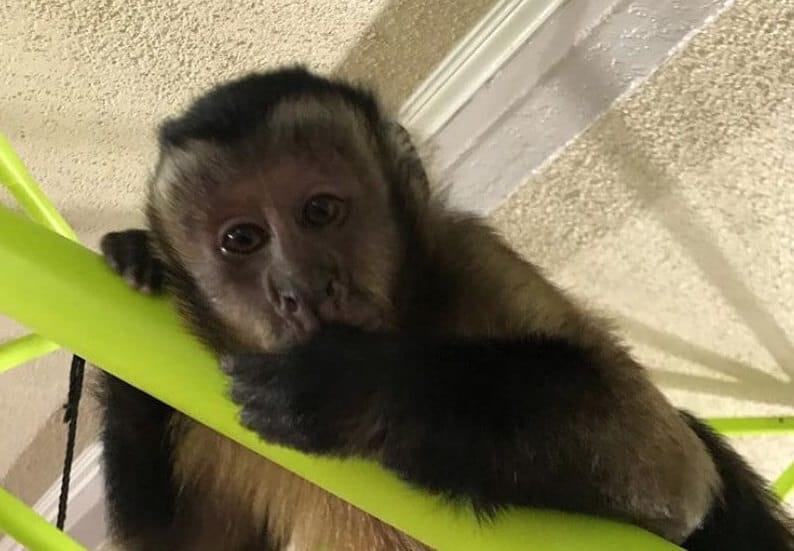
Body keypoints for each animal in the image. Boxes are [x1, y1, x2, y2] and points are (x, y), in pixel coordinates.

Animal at [96, 66, 794, 551]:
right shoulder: (210, 428)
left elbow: (665, 464)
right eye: (242, 239)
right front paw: (139, 264)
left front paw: (356, 390)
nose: (301, 286)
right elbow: (183, 544)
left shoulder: (473, 256)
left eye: (320, 211)